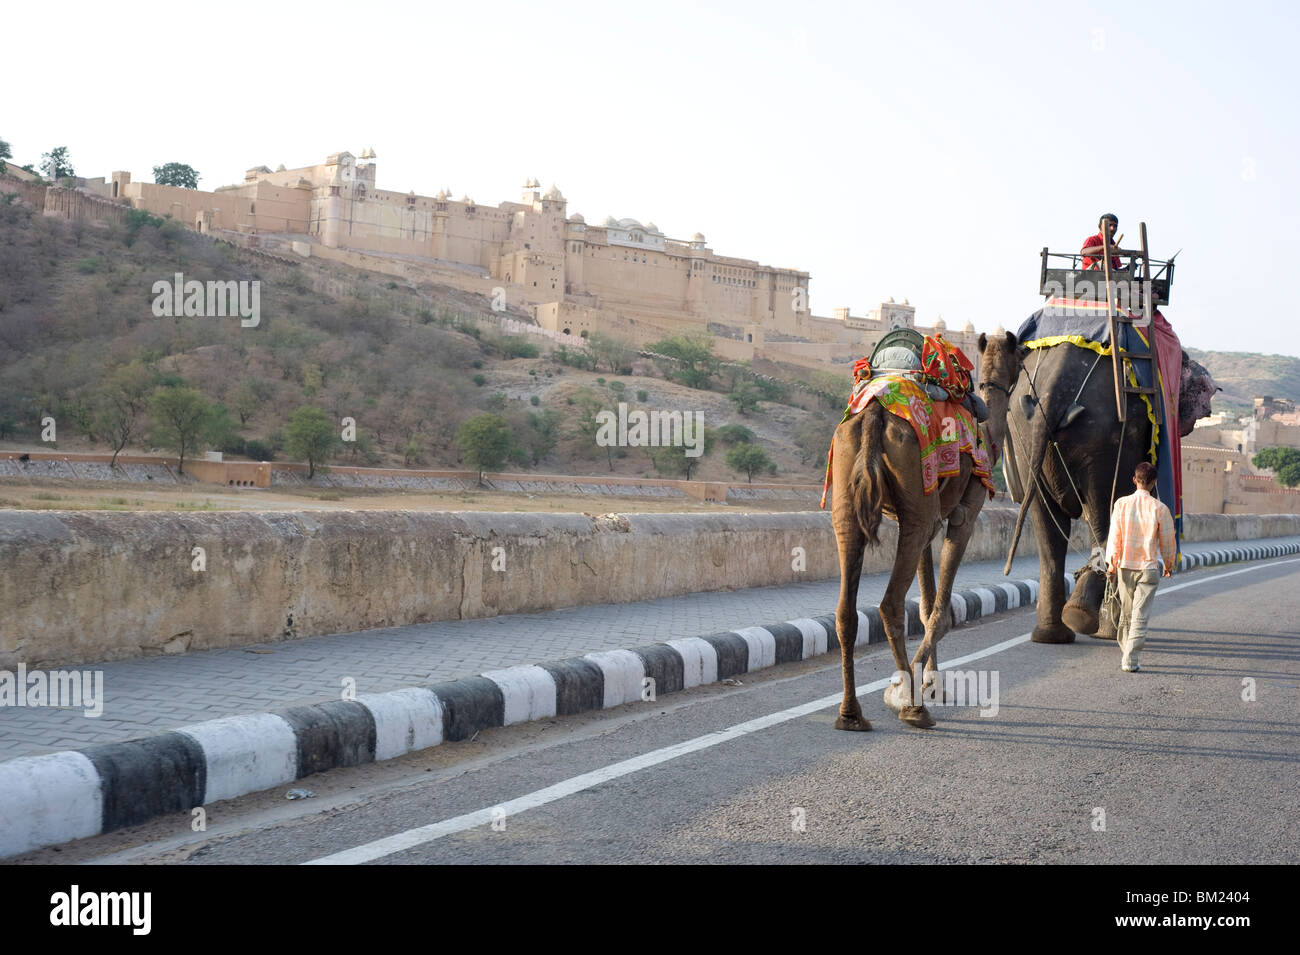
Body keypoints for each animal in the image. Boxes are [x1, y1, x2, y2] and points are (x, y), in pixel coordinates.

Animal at [829, 331, 1021, 731]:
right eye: (1021, 353)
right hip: (918, 496)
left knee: (846, 611)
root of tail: (874, 415)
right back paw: (912, 708)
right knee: (889, 604)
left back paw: (851, 714)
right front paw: (909, 692)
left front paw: (932, 683)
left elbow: (927, 602)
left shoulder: (924, 517)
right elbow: (941, 611)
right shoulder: (965, 511)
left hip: (853, 497)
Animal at [988, 319, 1218, 644]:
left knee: (1048, 529)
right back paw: (1089, 622)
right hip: (1103, 438)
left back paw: (1055, 633)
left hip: (1026, 434)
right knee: (1104, 513)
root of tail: (1054, 385)